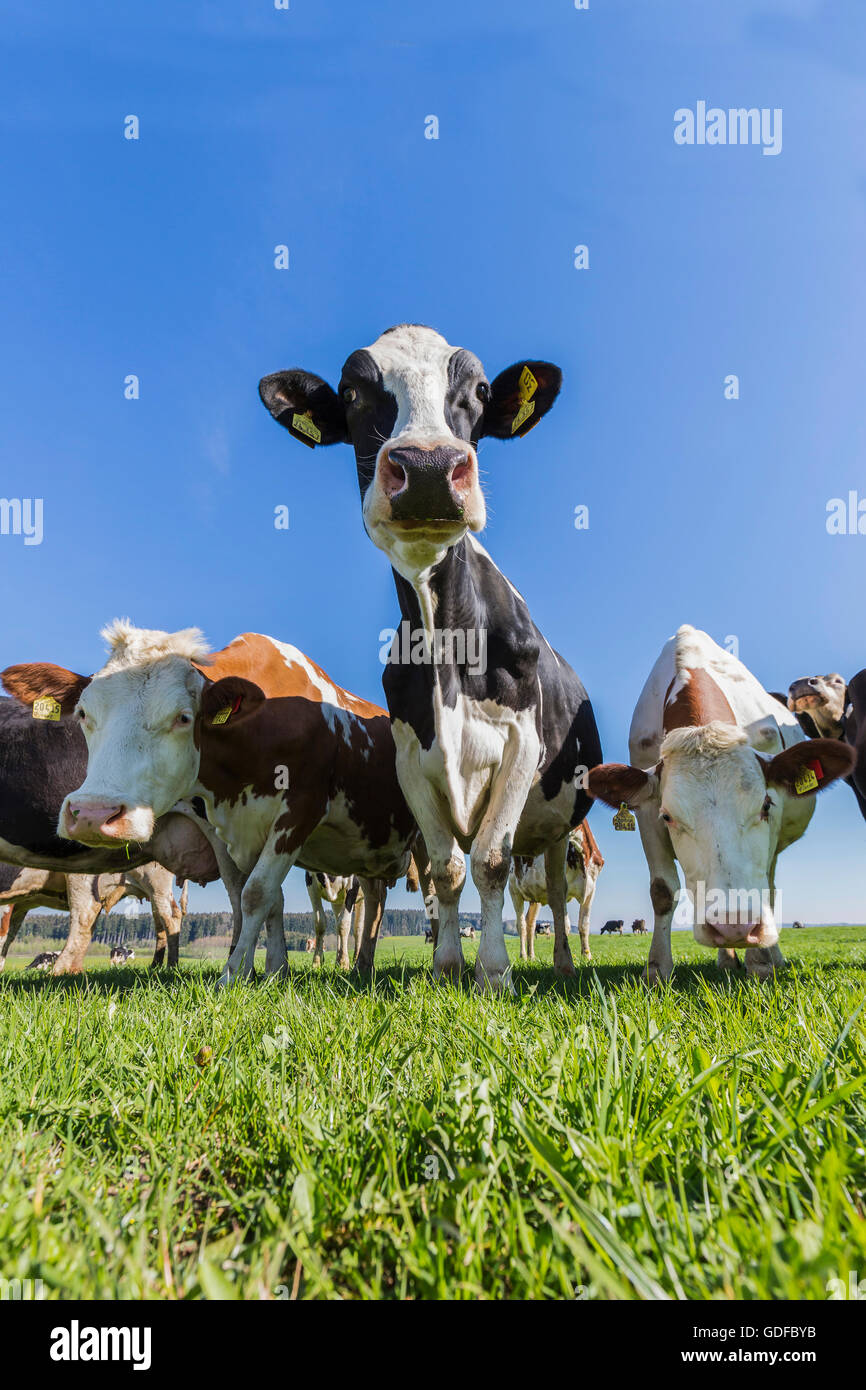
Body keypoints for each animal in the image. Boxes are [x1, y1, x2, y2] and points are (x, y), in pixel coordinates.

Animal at [0, 861, 183, 974]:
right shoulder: (21, 904)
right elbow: (8, 939)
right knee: (160, 923)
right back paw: (156, 965)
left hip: (155, 883)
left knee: (171, 918)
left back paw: (171, 966)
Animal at [508, 822, 604, 963]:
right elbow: (565, 925)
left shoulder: (591, 891)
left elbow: (584, 925)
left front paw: (586, 956)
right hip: (514, 891)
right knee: (521, 925)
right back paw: (523, 956)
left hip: (535, 898)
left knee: (530, 923)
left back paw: (532, 956)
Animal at [587, 626, 855, 983]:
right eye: (668, 816)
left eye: (766, 806)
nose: (734, 926)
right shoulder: (645, 812)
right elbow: (662, 891)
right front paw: (657, 969)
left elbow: (764, 888)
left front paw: (761, 963)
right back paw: (727, 959)